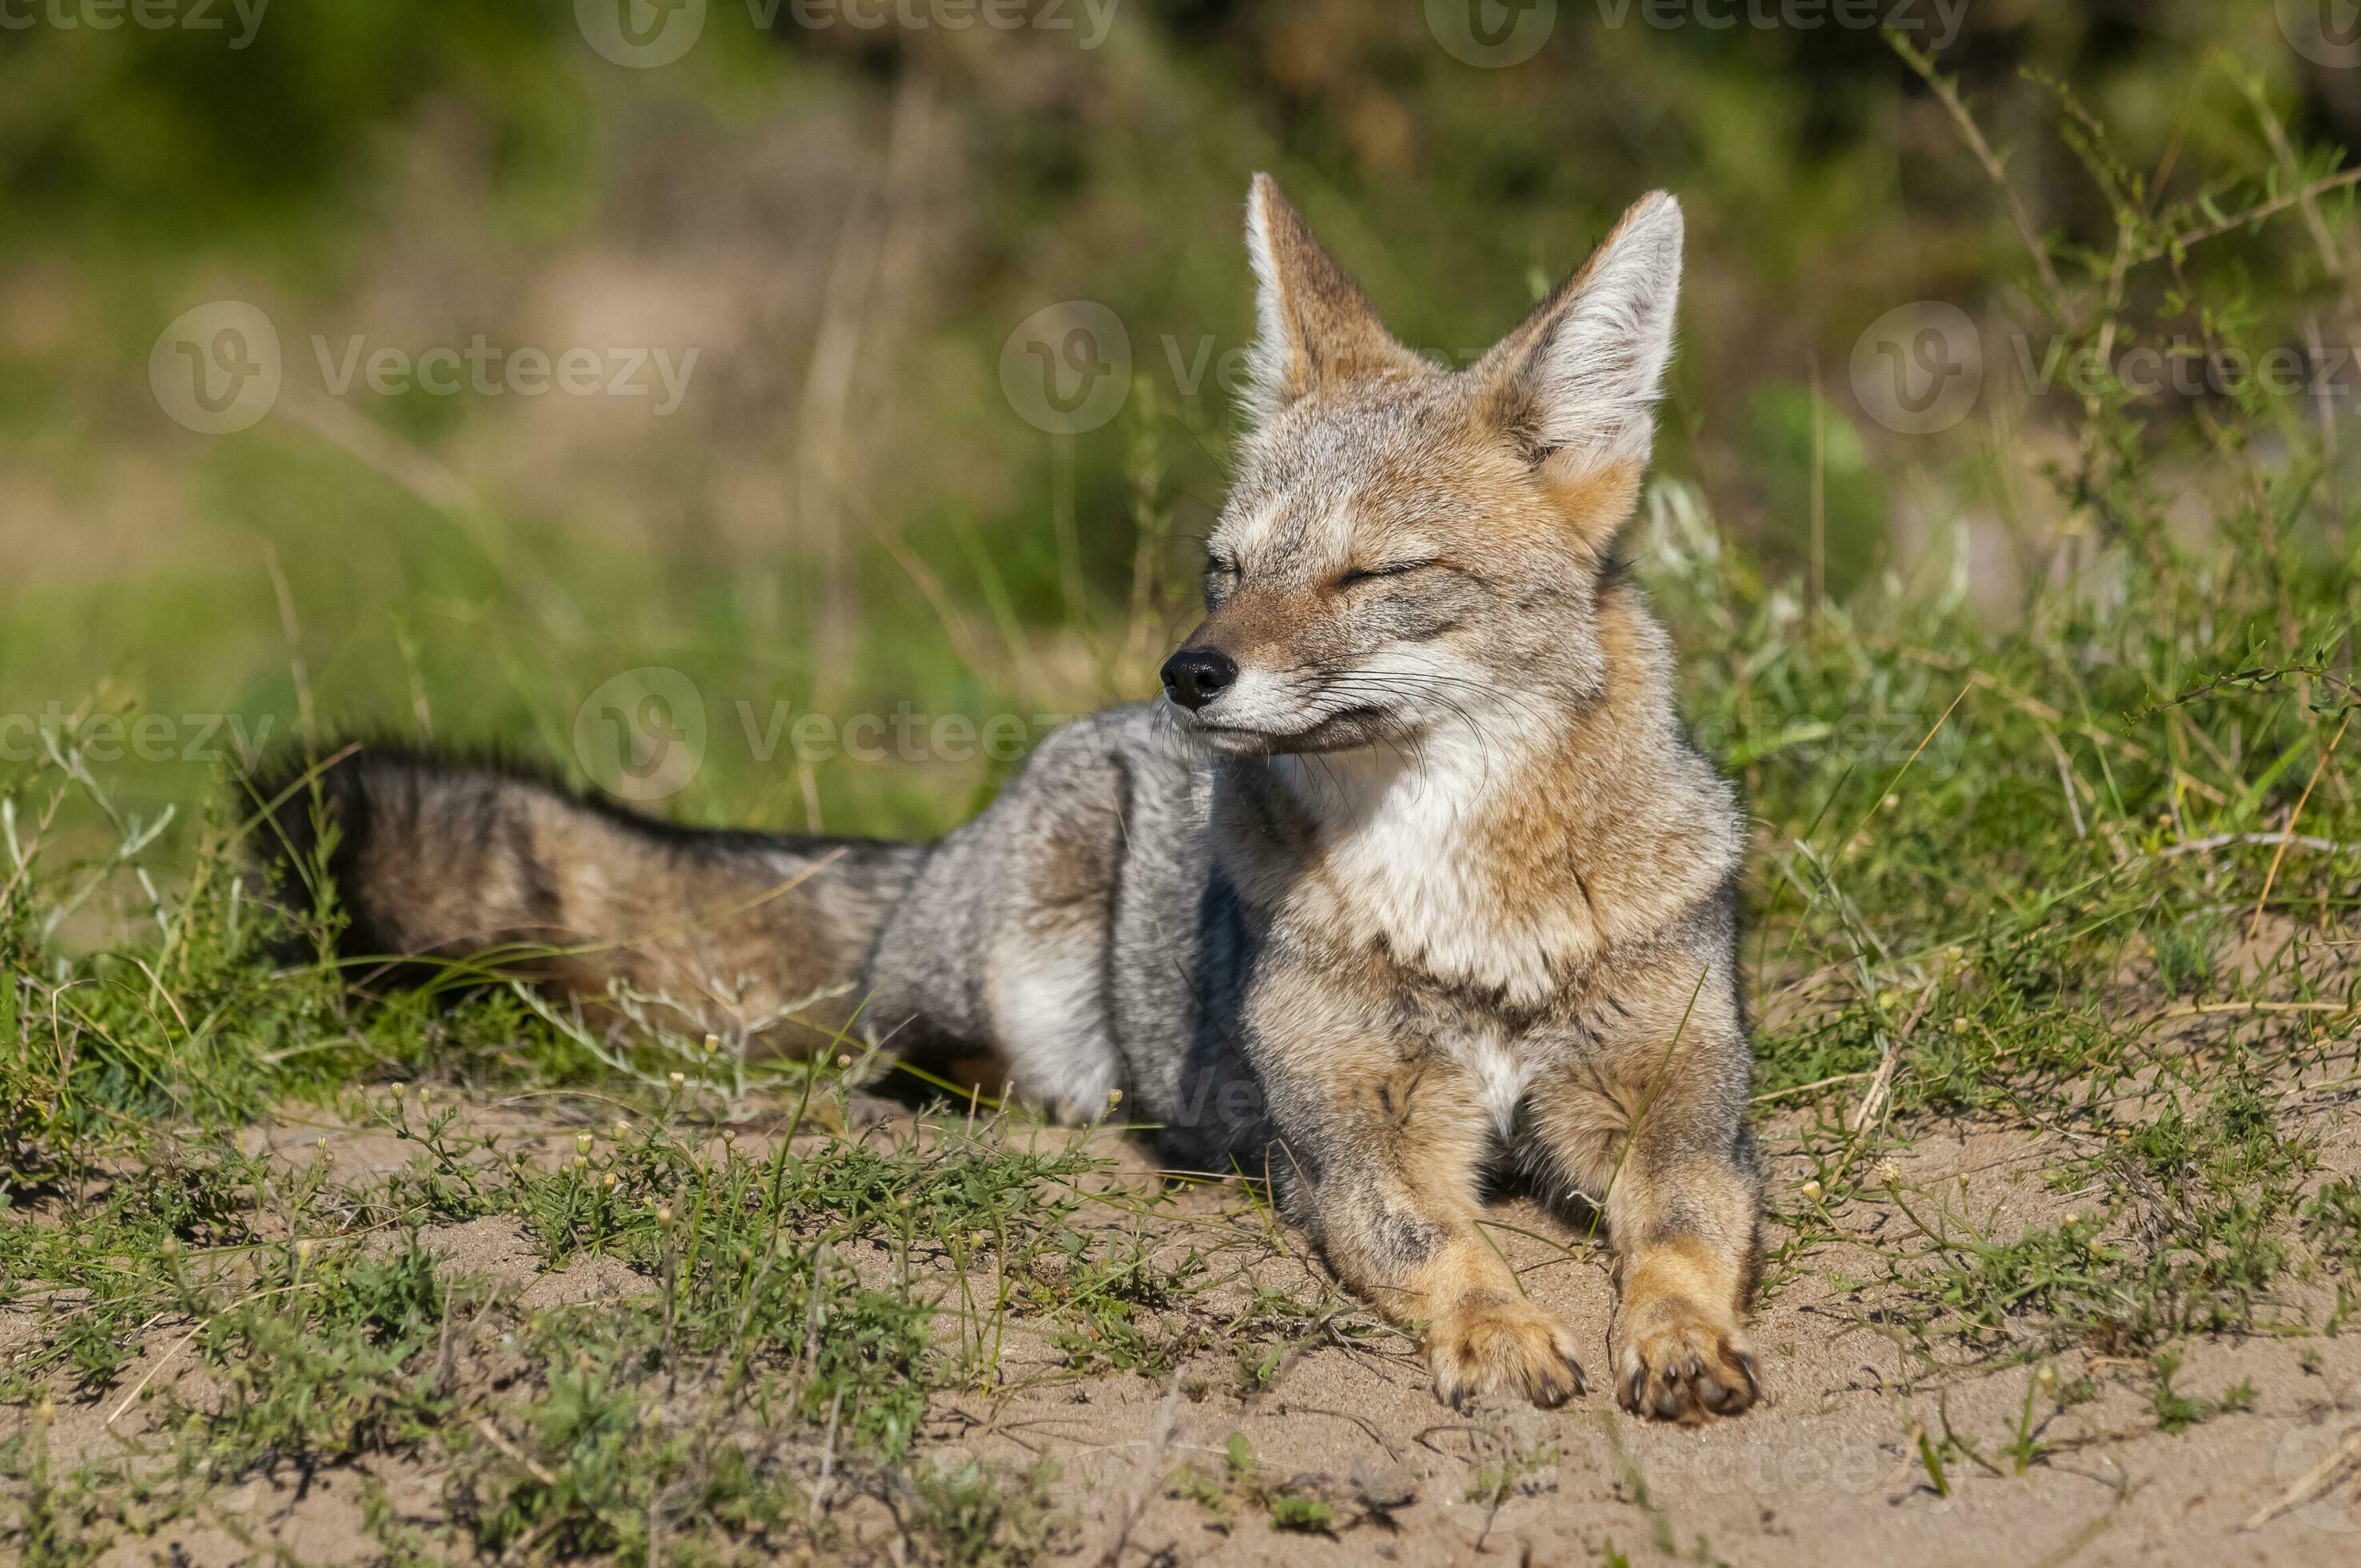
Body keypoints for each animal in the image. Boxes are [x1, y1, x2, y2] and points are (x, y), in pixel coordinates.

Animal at [255, 176, 1761, 1422]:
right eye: (1225, 568)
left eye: (1374, 575)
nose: (1189, 674)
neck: (1462, 913)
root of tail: (955, 830)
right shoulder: (1349, 1134)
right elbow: (1435, 1239)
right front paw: (1499, 1332)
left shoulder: (1680, 1100)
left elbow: (1690, 1229)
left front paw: (1680, 1341)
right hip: (1016, 968)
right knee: (900, 1056)